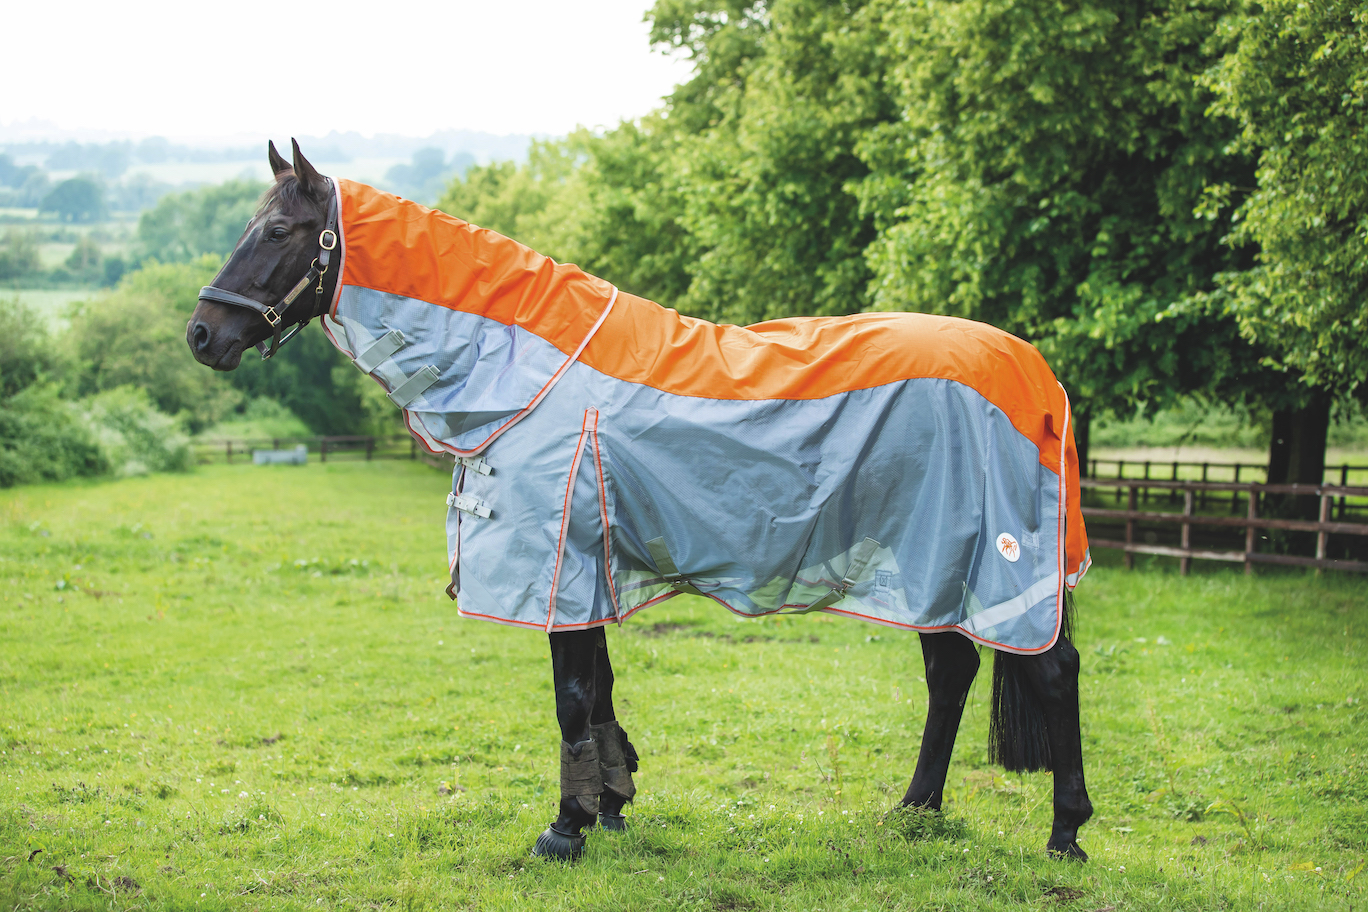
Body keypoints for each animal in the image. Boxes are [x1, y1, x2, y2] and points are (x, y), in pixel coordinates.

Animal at [187, 141, 1094, 862]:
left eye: (275, 233)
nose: (202, 335)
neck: (528, 373)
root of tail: (1034, 373)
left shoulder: (558, 563)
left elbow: (571, 698)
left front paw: (563, 830)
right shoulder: (589, 563)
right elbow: (602, 689)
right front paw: (610, 806)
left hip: (996, 561)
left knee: (1051, 672)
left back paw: (1065, 834)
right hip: (932, 559)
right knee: (951, 672)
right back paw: (914, 811)